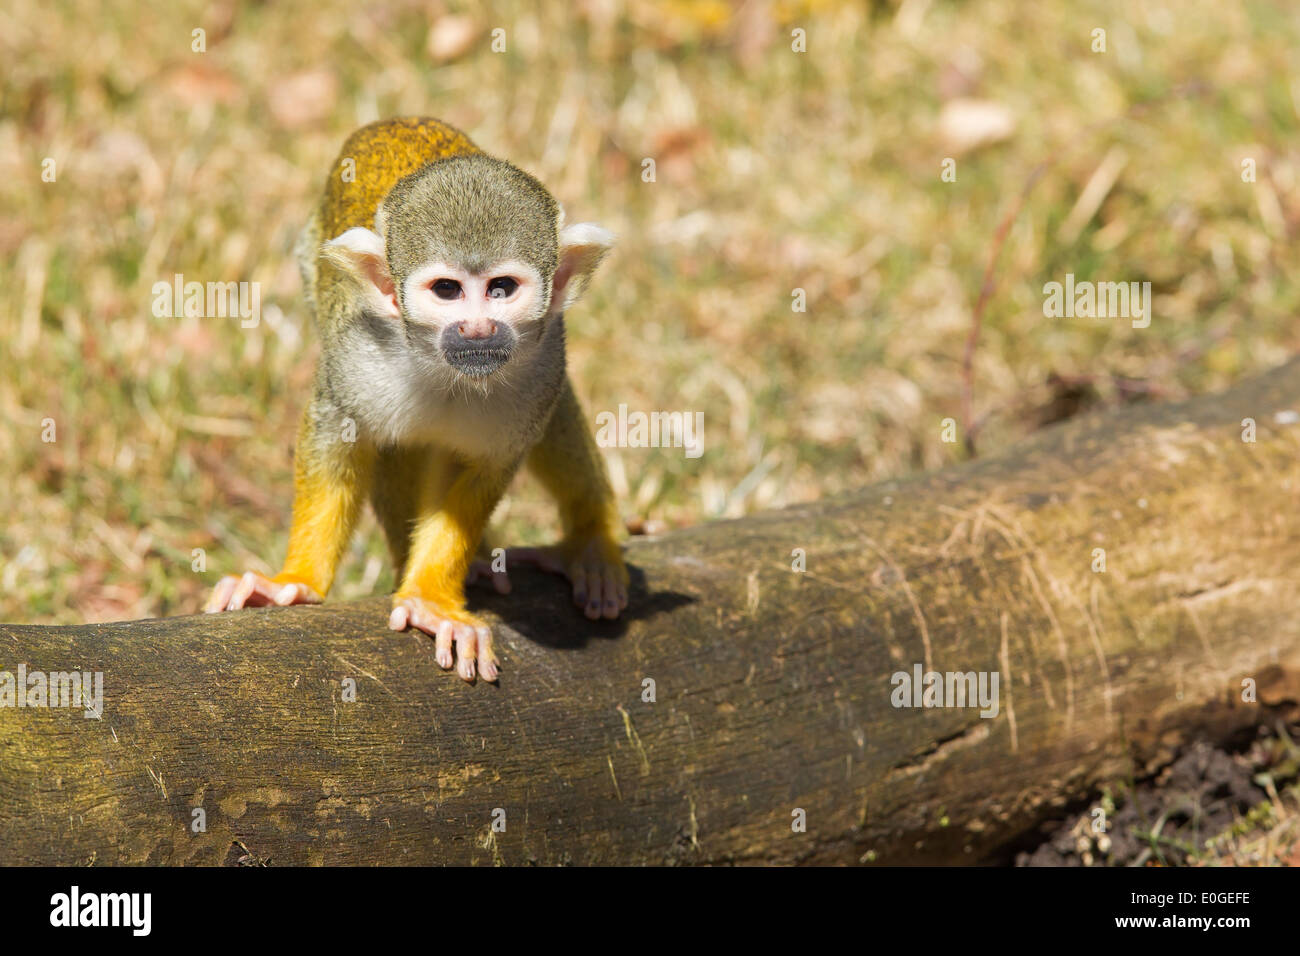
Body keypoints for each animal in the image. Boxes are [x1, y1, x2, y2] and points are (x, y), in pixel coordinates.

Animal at [205, 117, 628, 682]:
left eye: (501, 288)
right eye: (447, 290)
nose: (477, 330)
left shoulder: (541, 369)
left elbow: (488, 467)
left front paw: (430, 598)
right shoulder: (359, 355)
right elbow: (339, 432)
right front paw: (295, 583)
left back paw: (589, 541)